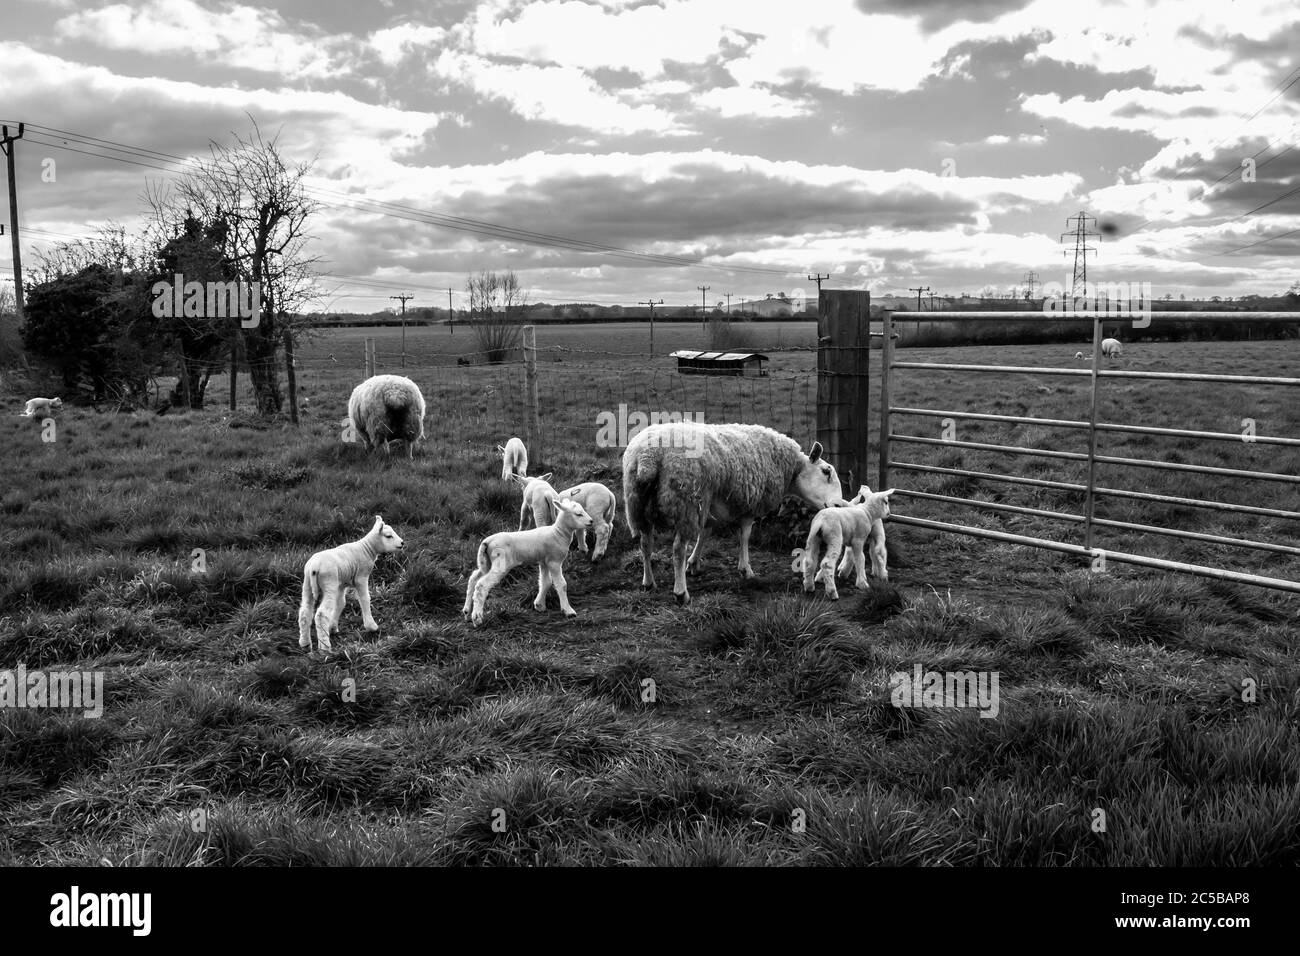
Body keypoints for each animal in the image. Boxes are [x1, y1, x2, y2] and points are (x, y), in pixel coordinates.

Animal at [298, 515, 405, 658]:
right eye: (388, 536)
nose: (402, 543)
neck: (367, 548)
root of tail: (314, 567)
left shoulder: (341, 585)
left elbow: (341, 603)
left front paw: (332, 627)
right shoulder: (361, 577)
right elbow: (365, 599)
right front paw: (371, 626)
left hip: (308, 586)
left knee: (305, 612)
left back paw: (305, 644)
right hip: (329, 583)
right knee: (321, 615)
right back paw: (325, 648)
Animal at [462, 495, 594, 626]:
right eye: (578, 514)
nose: (591, 521)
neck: (558, 533)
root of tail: (487, 542)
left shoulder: (544, 561)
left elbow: (545, 582)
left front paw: (539, 605)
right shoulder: (554, 561)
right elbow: (561, 585)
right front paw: (568, 611)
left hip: (486, 562)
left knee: (473, 578)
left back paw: (467, 612)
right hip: (500, 564)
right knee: (481, 585)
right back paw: (477, 618)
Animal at [623, 422, 845, 605]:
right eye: (826, 472)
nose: (838, 505)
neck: (791, 469)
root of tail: (648, 456)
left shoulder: (710, 503)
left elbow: (705, 533)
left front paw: (694, 563)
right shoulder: (749, 503)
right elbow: (744, 535)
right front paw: (745, 569)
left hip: (638, 505)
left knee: (645, 543)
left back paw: (648, 583)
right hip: (686, 504)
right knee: (677, 549)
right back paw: (681, 593)